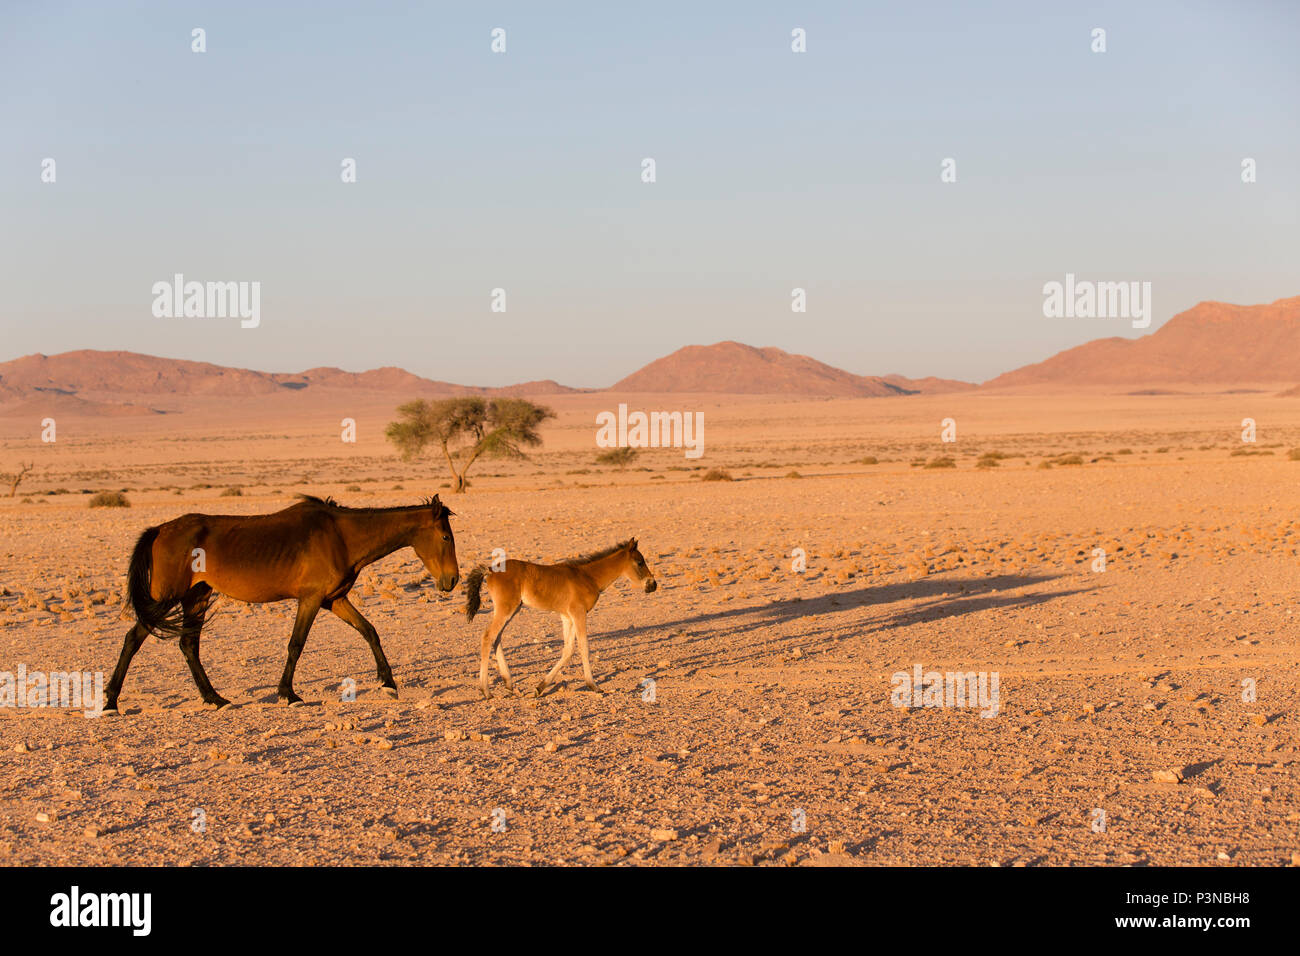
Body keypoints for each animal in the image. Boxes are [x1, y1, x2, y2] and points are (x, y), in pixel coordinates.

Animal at [104, 494, 458, 711]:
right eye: (445, 537)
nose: (452, 580)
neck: (342, 536)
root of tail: (159, 529)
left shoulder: (334, 600)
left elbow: (369, 631)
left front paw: (388, 684)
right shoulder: (311, 600)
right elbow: (296, 644)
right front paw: (289, 694)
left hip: (197, 595)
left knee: (188, 645)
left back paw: (215, 699)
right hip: (166, 598)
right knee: (133, 638)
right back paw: (110, 702)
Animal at [463, 538, 656, 699]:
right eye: (640, 562)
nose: (653, 585)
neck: (588, 577)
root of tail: (490, 571)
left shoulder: (567, 616)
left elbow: (568, 649)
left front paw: (540, 687)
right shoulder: (579, 613)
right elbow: (584, 647)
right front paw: (593, 685)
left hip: (512, 609)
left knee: (497, 638)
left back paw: (508, 683)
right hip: (506, 609)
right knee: (488, 636)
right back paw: (486, 691)